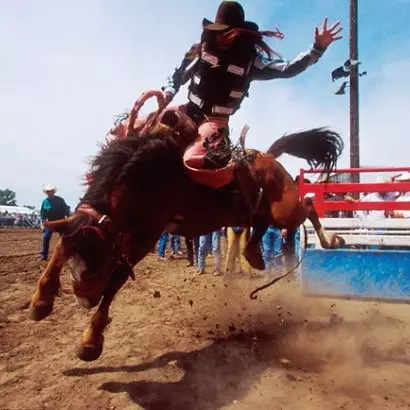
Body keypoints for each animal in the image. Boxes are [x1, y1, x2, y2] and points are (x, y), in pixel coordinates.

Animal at [28, 90, 344, 362]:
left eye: (97, 266)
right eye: (75, 267)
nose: (84, 301)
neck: (149, 174)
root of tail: (269, 157)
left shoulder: (145, 235)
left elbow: (116, 280)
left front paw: (90, 342)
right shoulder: (94, 226)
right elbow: (64, 240)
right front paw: (41, 302)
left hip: (285, 208)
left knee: (307, 204)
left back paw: (332, 240)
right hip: (255, 213)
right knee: (263, 224)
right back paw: (255, 256)